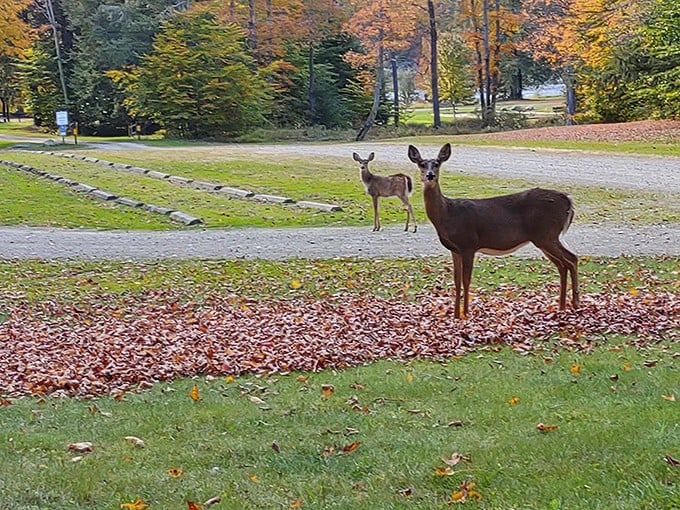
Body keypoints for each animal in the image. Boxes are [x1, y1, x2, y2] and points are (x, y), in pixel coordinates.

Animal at [407, 143, 579, 319]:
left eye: (437, 164)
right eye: (421, 164)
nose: (430, 175)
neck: (447, 213)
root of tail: (568, 200)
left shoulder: (469, 244)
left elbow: (466, 280)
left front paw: (466, 313)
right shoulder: (454, 249)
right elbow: (456, 280)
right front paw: (455, 315)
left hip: (547, 234)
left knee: (572, 259)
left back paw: (575, 304)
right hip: (544, 238)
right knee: (562, 265)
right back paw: (561, 306)